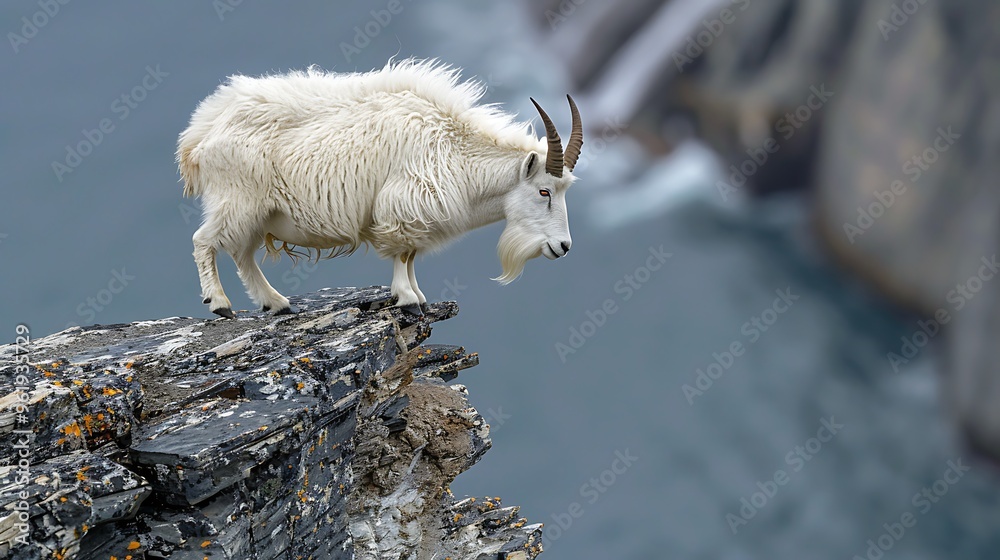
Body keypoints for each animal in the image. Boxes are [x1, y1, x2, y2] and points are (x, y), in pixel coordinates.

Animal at [177, 59, 582, 317]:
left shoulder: (415, 215)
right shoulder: (403, 204)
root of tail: (202, 133)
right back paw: (220, 304)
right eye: (544, 191)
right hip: (237, 200)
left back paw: (275, 302)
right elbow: (402, 254)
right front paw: (407, 298)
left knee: (241, 253)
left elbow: (412, 255)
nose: (564, 247)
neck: (452, 146)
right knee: (204, 241)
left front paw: (418, 295)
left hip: (257, 212)